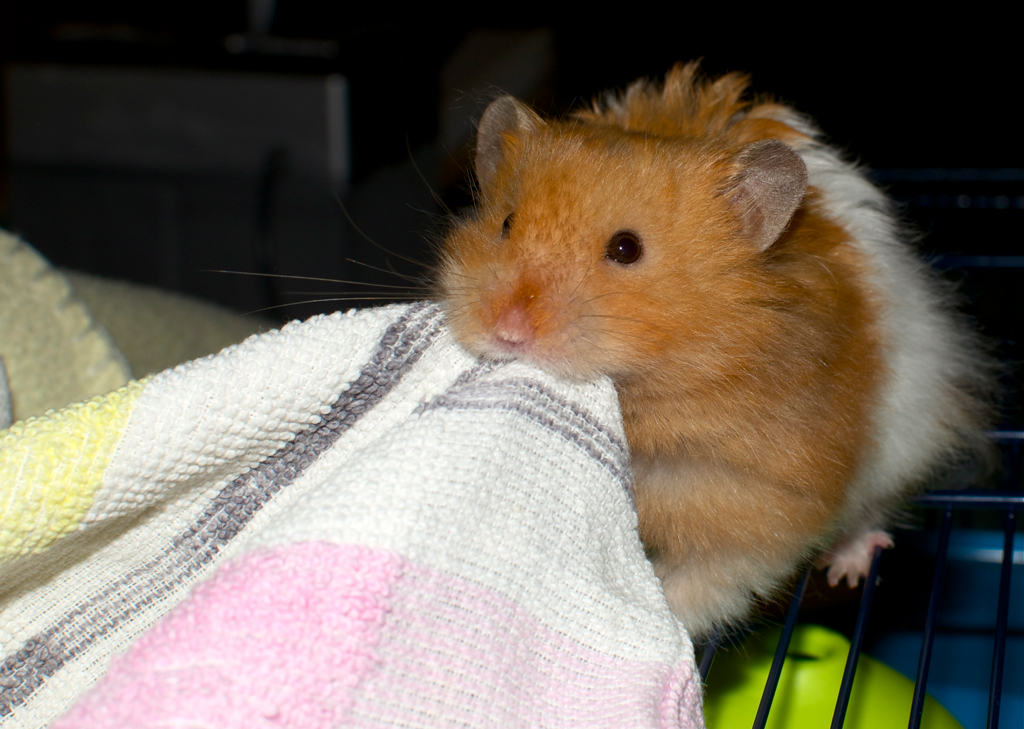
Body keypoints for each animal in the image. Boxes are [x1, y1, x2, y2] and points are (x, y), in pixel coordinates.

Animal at [435, 62, 994, 638]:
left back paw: (847, 568)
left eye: (626, 249)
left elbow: (706, 585)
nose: (507, 330)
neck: (647, 408)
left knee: (872, 512)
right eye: (505, 224)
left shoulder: (757, 509)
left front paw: (661, 630)